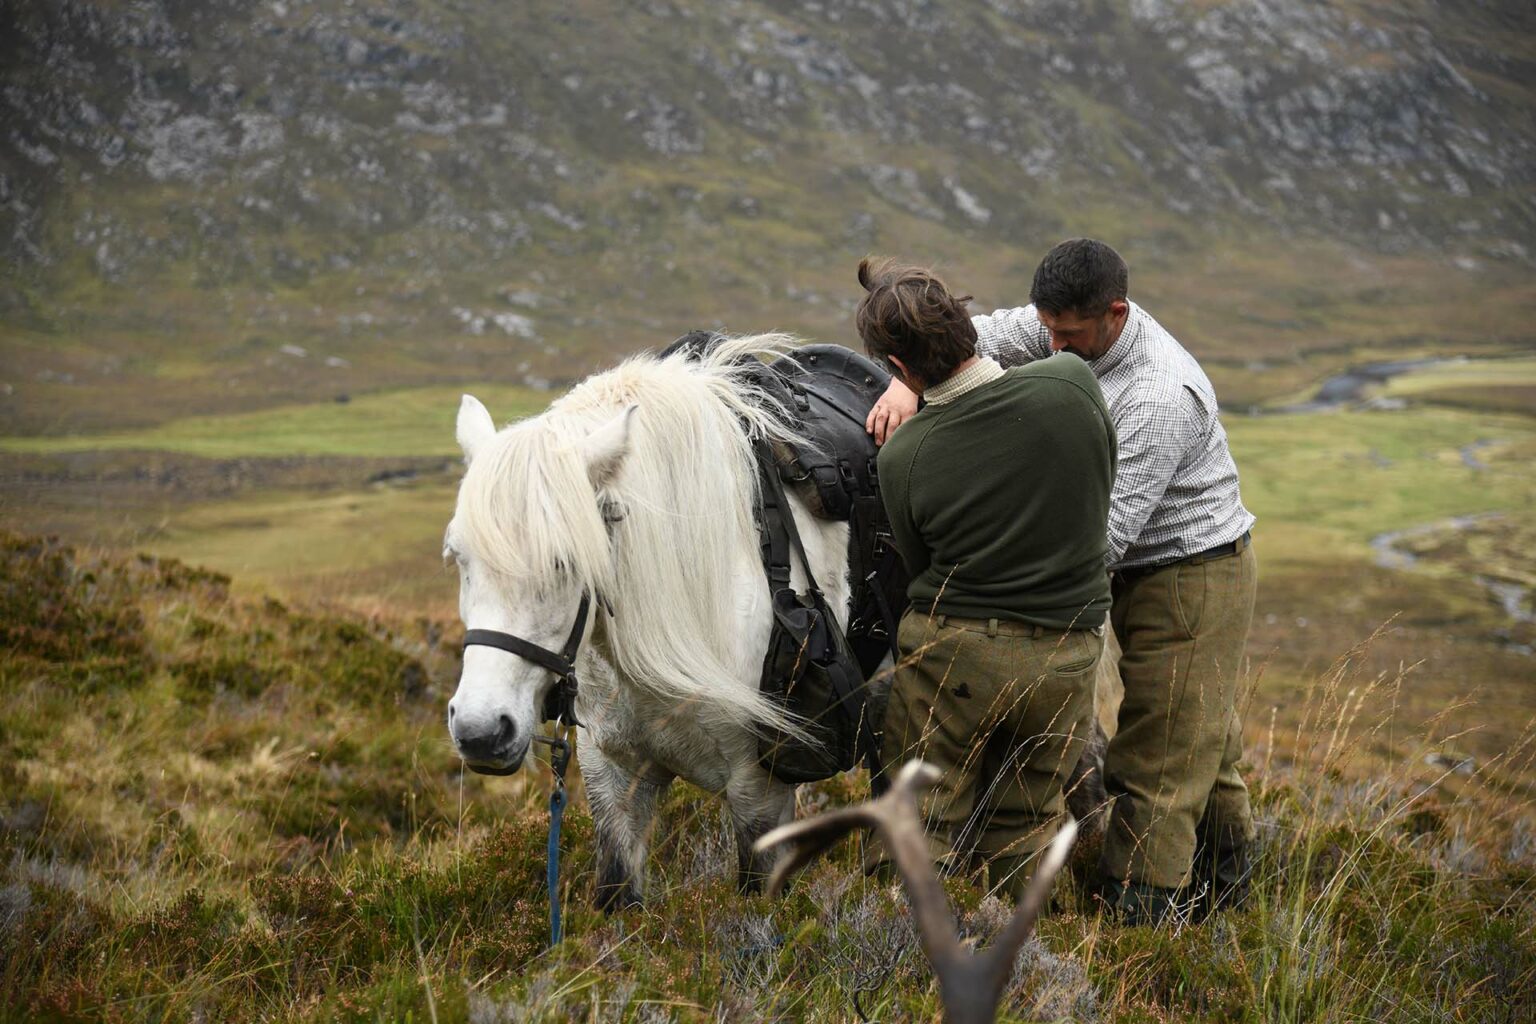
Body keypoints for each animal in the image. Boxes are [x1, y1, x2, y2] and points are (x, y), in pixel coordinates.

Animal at [443, 334, 1118, 909]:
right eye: (458, 557)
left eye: (565, 561)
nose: (481, 731)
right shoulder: (614, 776)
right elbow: (619, 901)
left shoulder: (760, 788)